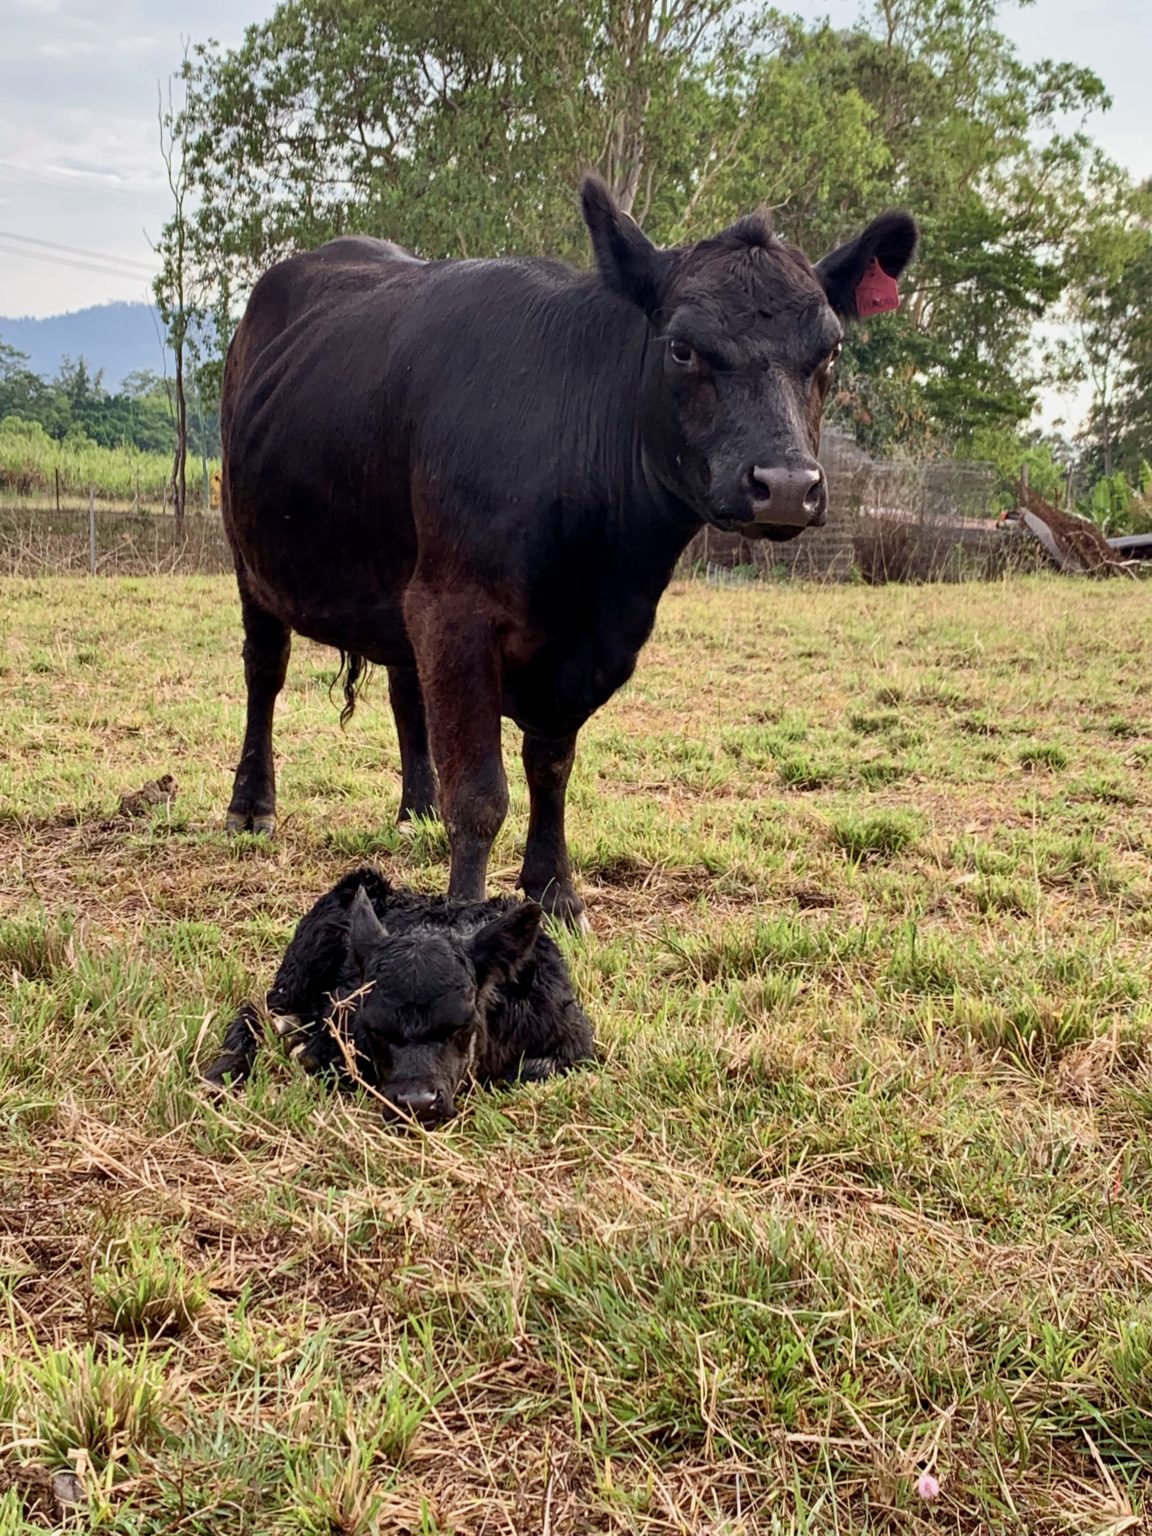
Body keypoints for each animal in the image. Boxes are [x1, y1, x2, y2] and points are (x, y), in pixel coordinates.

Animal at [202, 867, 596, 1128]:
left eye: (463, 1023)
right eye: (374, 1027)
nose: (417, 1103)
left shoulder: (576, 1041)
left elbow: (532, 1068)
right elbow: (319, 1058)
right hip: (295, 976)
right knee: (255, 1011)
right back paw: (221, 1073)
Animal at [220, 179, 917, 926]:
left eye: (832, 350)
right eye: (682, 348)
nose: (786, 485)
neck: (600, 572)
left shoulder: (577, 643)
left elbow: (550, 767)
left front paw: (555, 891)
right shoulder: (456, 610)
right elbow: (482, 792)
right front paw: (467, 915)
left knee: (406, 690)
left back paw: (417, 810)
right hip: (251, 558)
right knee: (264, 672)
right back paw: (252, 806)